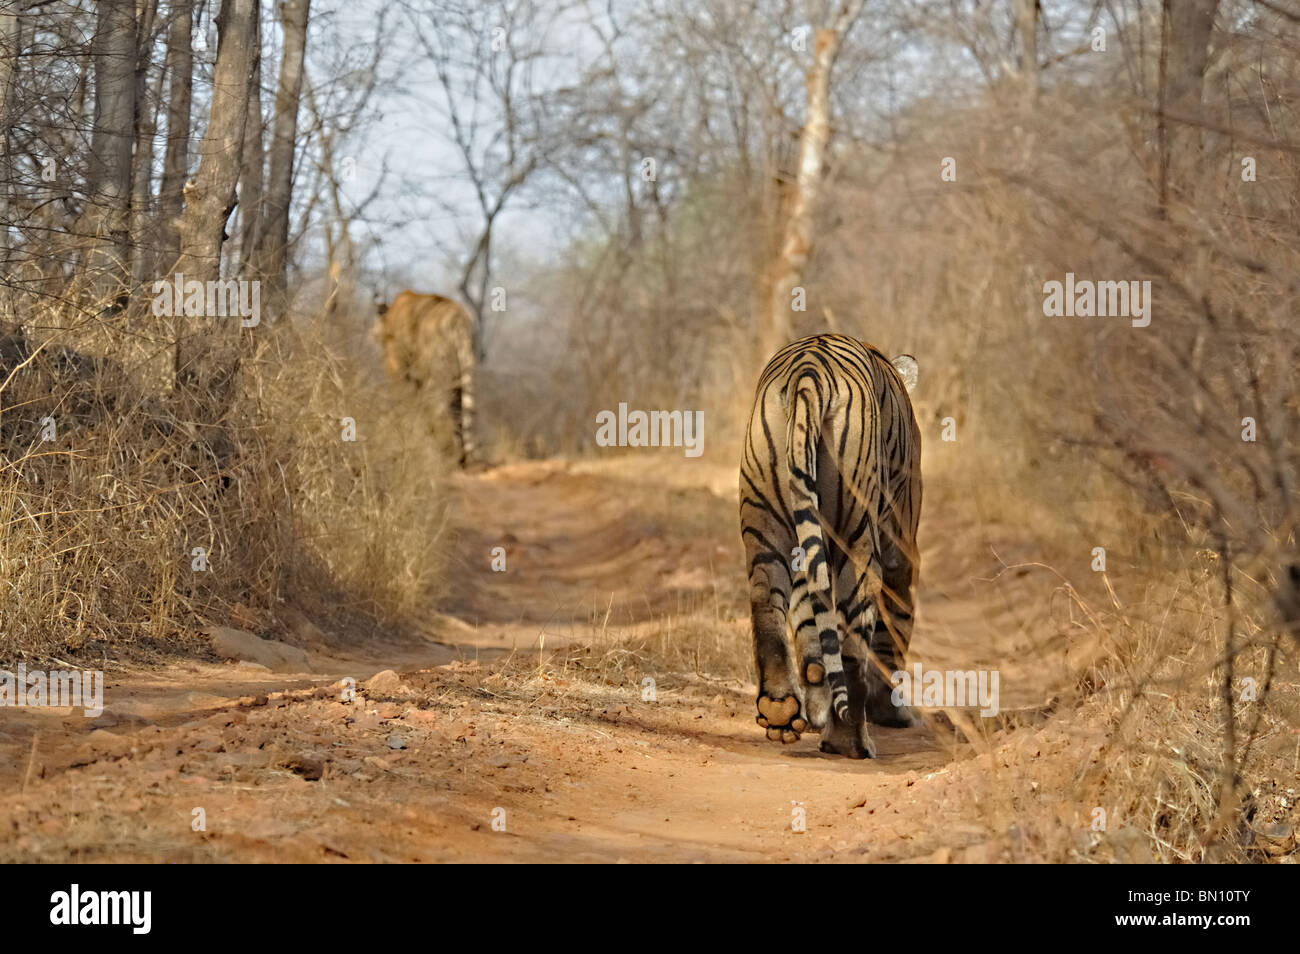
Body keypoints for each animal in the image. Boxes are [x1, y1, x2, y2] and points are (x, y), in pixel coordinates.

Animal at [373, 291, 477, 469]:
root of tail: (457, 319)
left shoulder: (397, 365)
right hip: (463, 371)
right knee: (462, 411)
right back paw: (462, 459)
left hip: (436, 375)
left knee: (440, 413)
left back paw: (448, 459)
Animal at [739, 333, 922, 758]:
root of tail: (809, 371)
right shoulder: (902, 551)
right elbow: (894, 630)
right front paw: (892, 712)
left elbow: (810, 624)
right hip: (858, 536)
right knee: (855, 638)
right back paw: (850, 742)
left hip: (763, 519)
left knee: (766, 602)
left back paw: (780, 711)